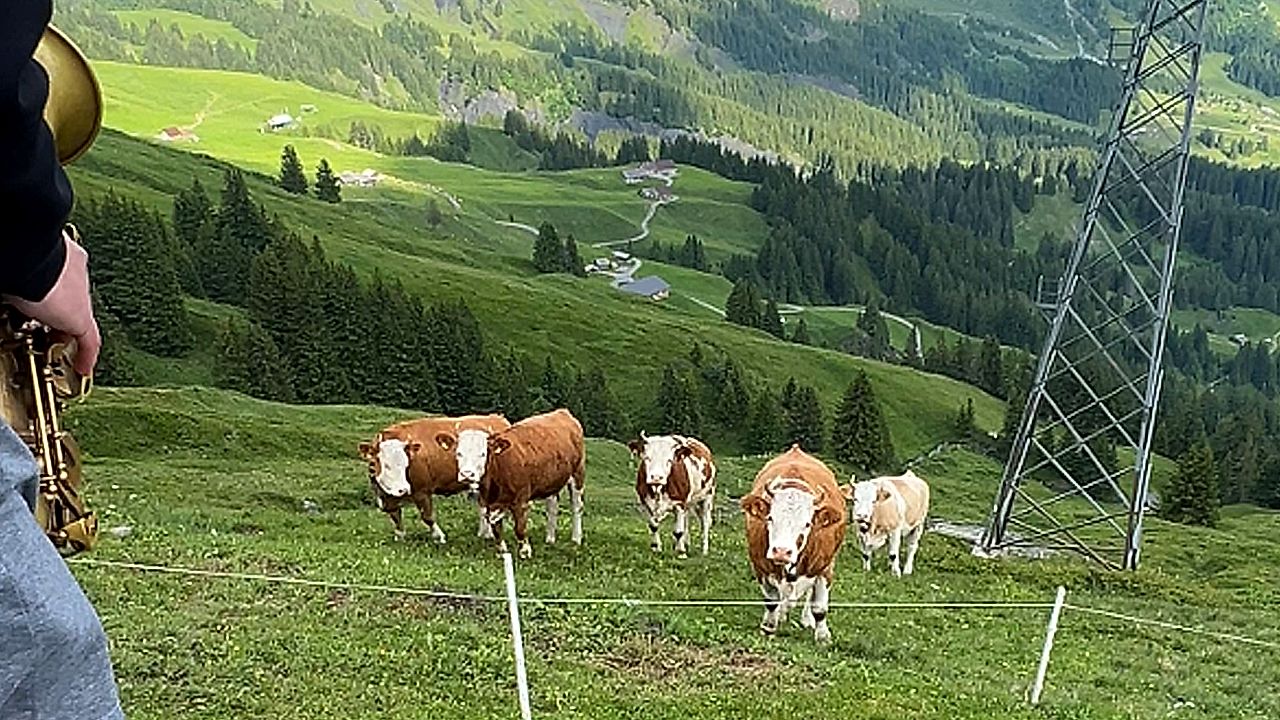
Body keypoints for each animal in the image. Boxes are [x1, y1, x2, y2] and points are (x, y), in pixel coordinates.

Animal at [358, 413, 510, 543]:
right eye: (386, 465)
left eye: (406, 464)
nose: (404, 489)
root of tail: (497, 417)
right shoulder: (387, 497)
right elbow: (395, 515)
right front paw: (400, 536)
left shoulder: (422, 491)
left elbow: (428, 517)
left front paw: (439, 536)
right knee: (482, 506)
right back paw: (484, 533)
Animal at [437, 408, 585, 559]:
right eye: (458, 453)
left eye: (483, 454)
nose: (467, 474)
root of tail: (562, 411)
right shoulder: (489, 503)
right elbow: (496, 528)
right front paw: (502, 551)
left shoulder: (521, 499)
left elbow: (519, 527)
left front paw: (525, 552)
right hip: (551, 482)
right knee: (552, 507)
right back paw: (550, 538)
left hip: (578, 474)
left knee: (577, 507)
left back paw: (576, 538)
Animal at [740, 444, 847, 644]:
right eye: (770, 518)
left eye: (807, 524)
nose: (781, 551)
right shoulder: (759, 565)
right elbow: (771, 601)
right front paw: (768, 627)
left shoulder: (825, 567)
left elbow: (819, 607)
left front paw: (823, 636)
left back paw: (807, 619)